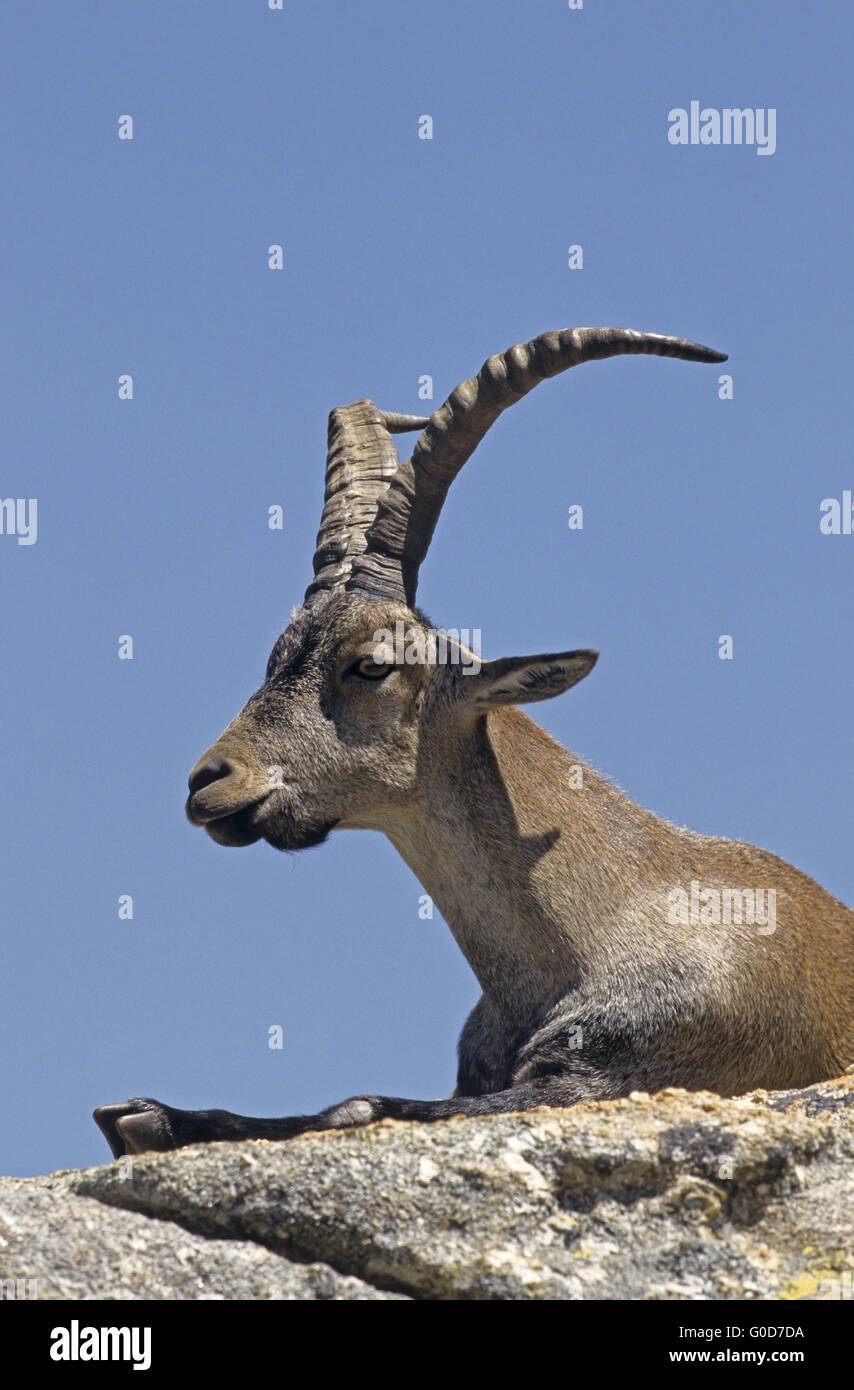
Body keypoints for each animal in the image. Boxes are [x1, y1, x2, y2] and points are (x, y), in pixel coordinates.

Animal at [95, 326, 854, 1156]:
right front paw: (149, 1114)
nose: (211, 782)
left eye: (372, 663)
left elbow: (360, 1104)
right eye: (277, 654)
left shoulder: (618, 1073)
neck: (603, 921)